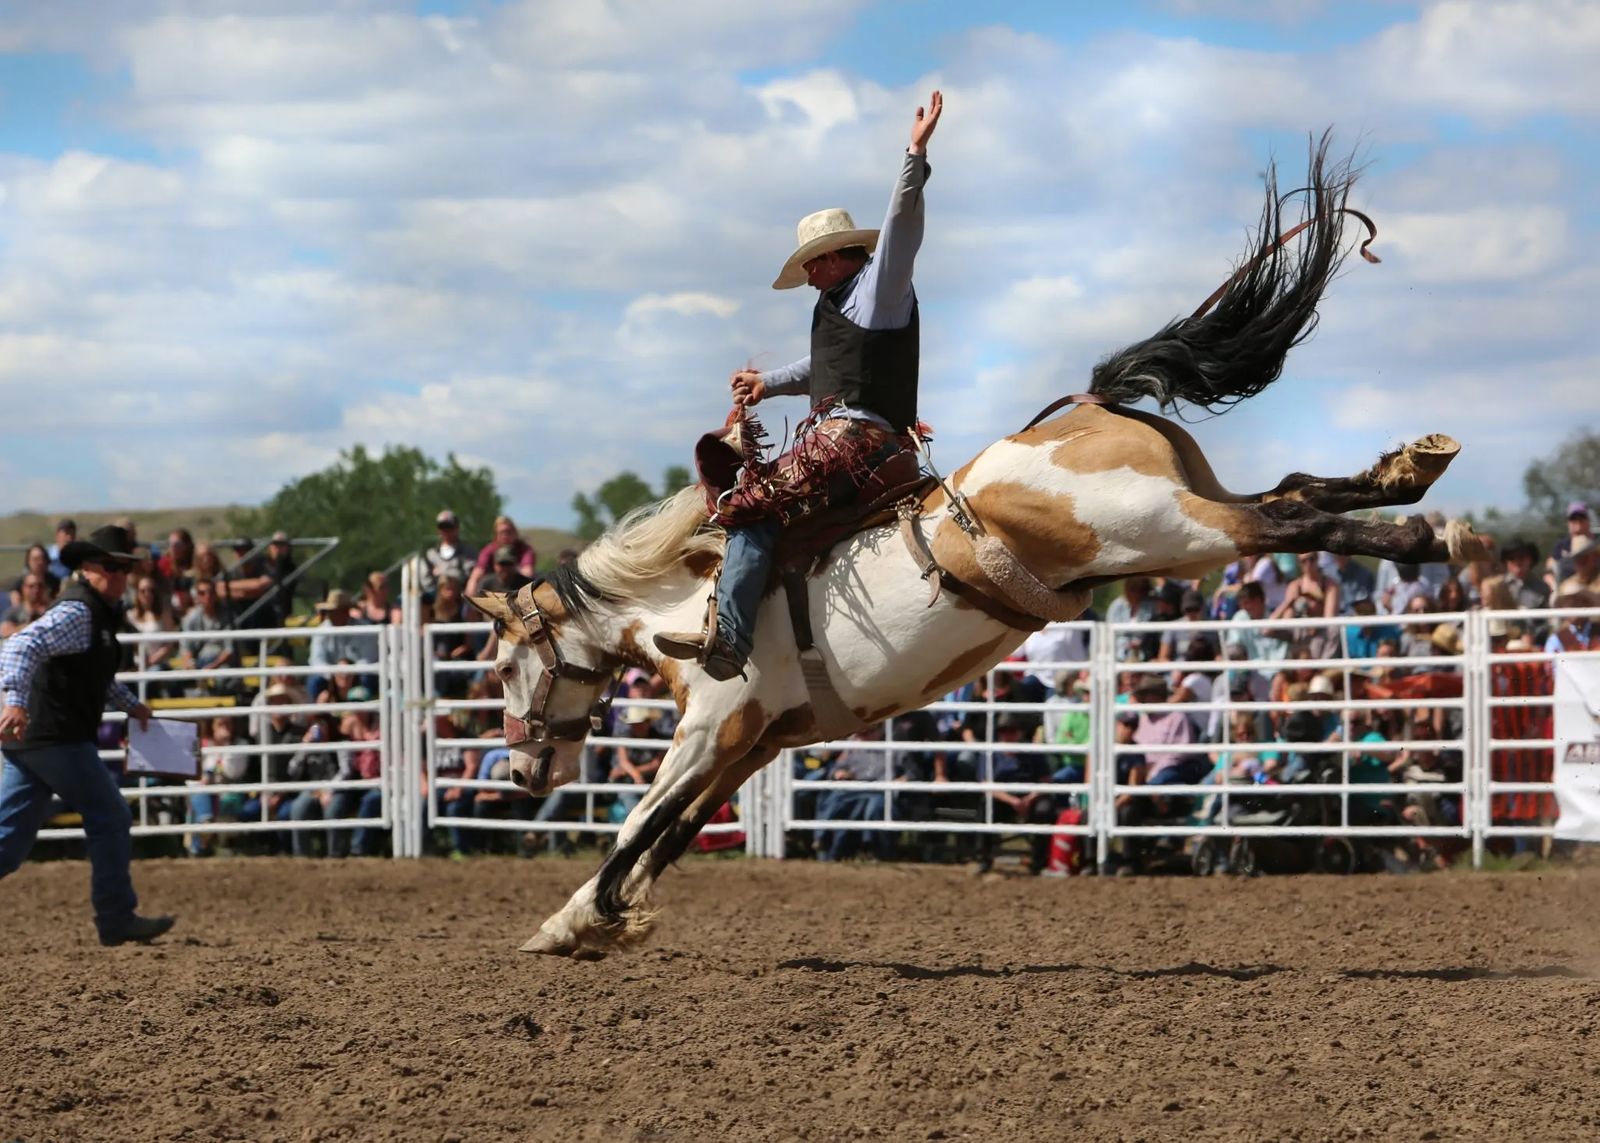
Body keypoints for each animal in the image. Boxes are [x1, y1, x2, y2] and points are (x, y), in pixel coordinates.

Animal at [470, 138, 1491, 958]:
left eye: (505, 668)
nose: (522, 774)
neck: (690, 600)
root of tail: (1091, 403)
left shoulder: (715, 726)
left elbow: (638, 822)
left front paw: (571, 921)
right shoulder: (756, 743)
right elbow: (673, 834)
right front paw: (592, 920)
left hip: (1171, 529)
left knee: (1288, 525)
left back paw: (1430, 532)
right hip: (1180, 512)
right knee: (1294, 490)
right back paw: (1412, 472)